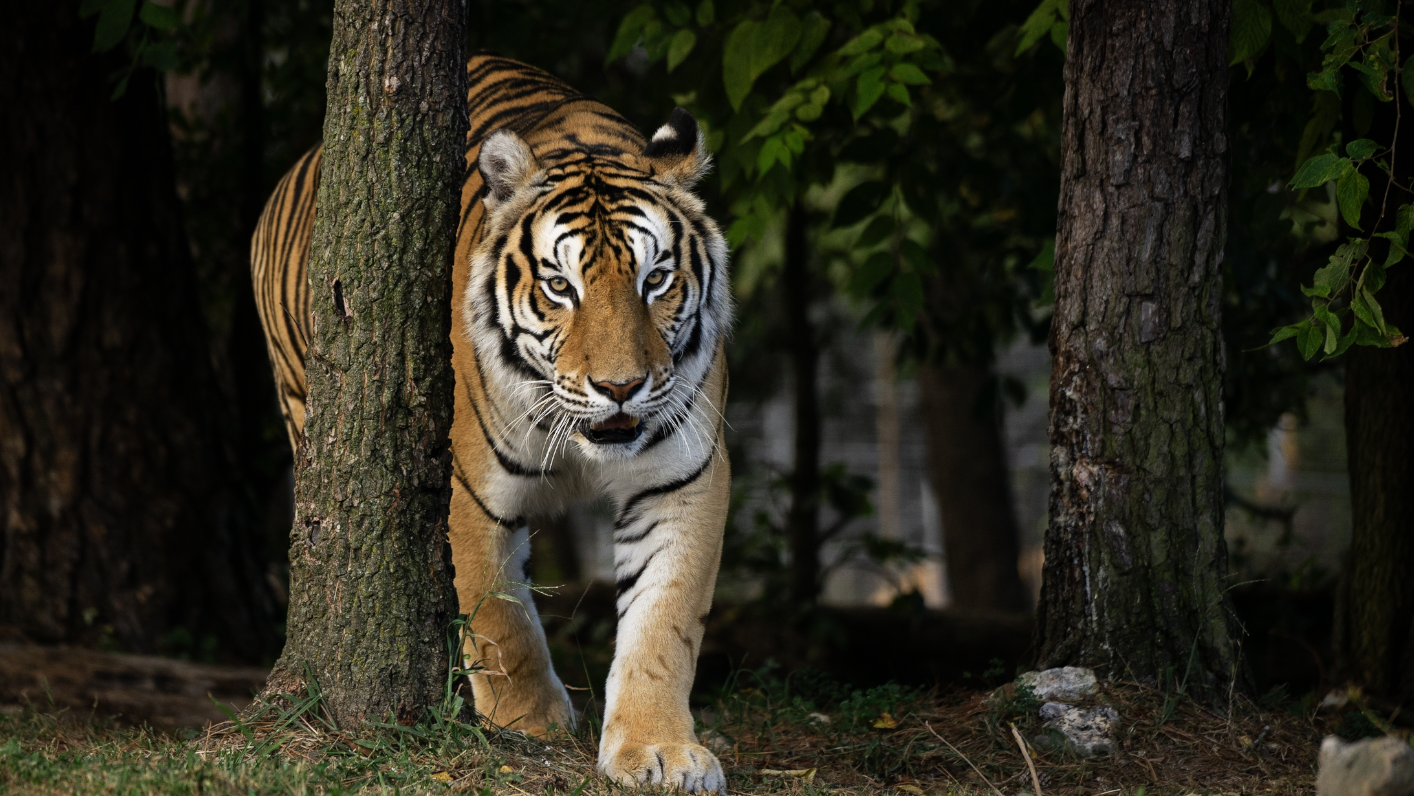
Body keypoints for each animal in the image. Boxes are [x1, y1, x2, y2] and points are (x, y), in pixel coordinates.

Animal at [250, 54, 732, 792]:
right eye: (561, 287)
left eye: (655, 280)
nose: (621, 388)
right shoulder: (468, 486)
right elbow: (499, 615)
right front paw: (527, 722)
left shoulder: (683, 481)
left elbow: (665, 621)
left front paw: (659, 749)